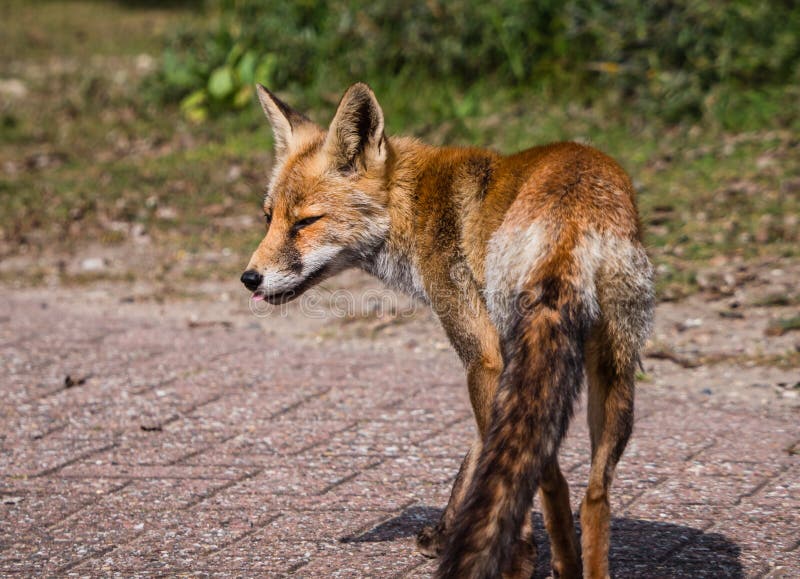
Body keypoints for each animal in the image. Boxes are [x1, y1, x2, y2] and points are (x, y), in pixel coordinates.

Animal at [241, 82, 655, 579]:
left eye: (305, 222)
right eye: (269, 218)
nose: (249, 278)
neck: (414, 205)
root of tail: (574, 214)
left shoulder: (484, 355)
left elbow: (489, 459)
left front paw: (494, 546)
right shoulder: (505, 362)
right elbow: (479, 454)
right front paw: (449, 532)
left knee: (549, 478)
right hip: (615, 371)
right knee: (592, 496)